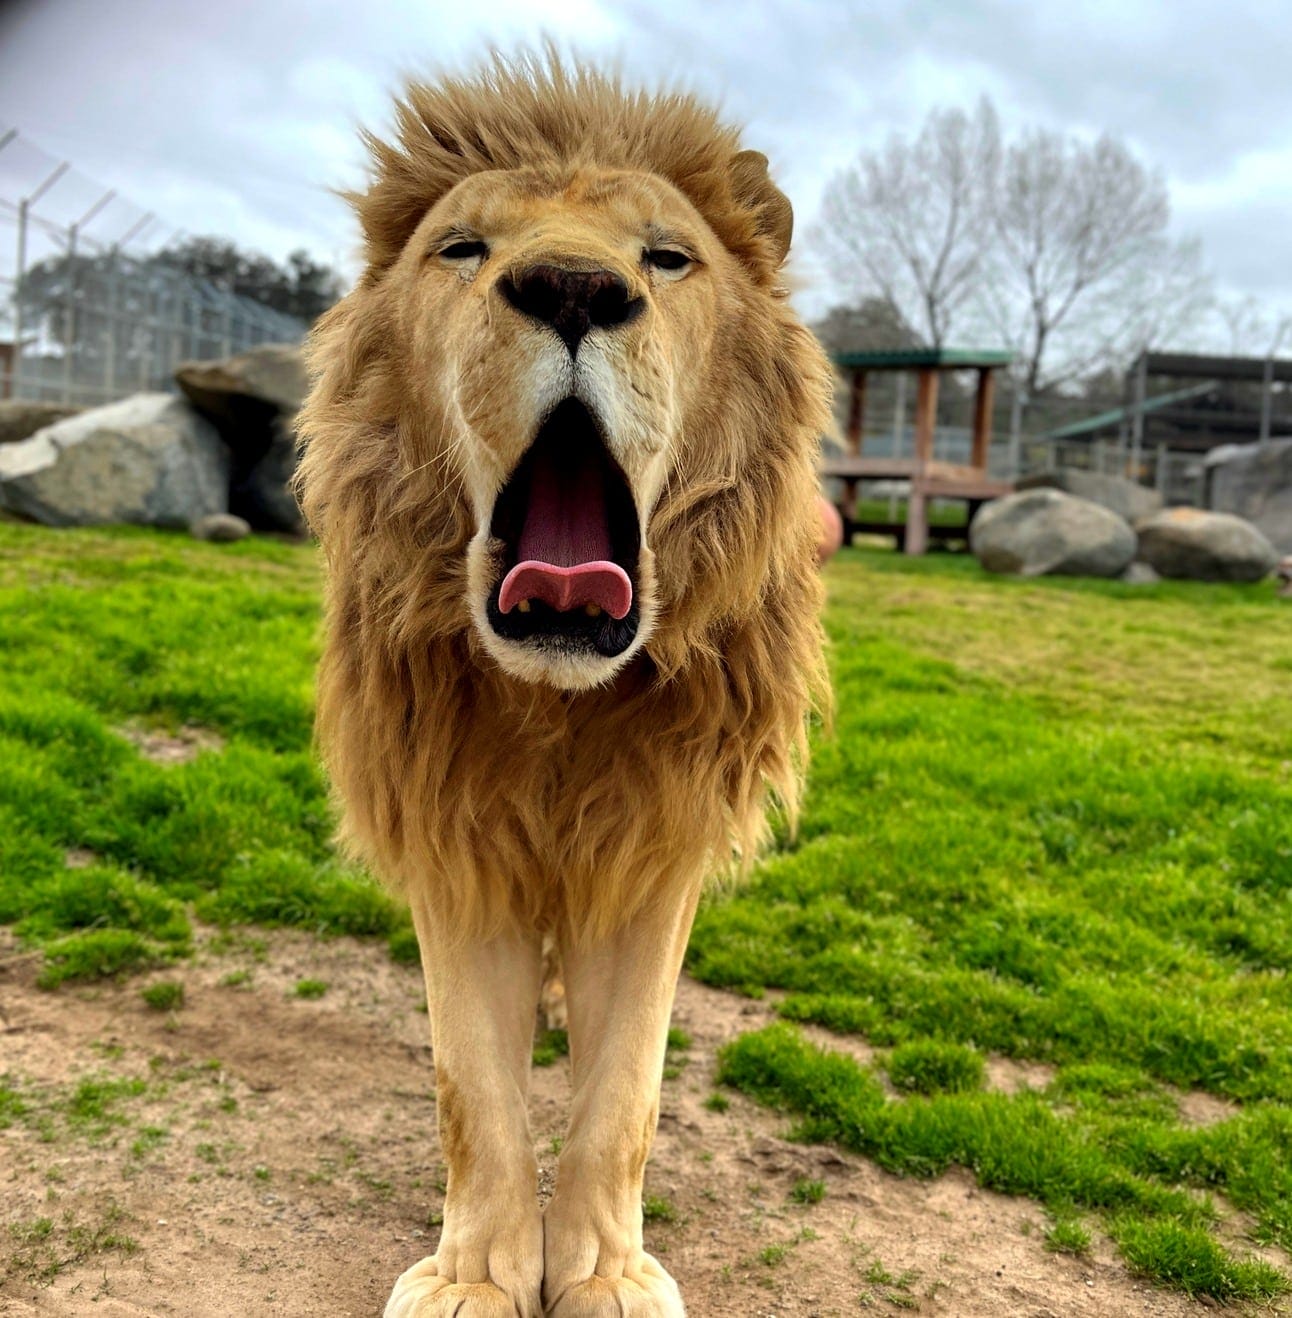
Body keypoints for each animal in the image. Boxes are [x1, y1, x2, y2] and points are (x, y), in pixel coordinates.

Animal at [294, 54, 832, 1317]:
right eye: (462, 249)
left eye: (665, 258)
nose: (573, 288)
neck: (554, 707)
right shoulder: (456, 845)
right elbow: (473, 1091)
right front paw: (474, 1278)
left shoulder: (650, 856)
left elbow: (620, 1097)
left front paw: (602, 1275)